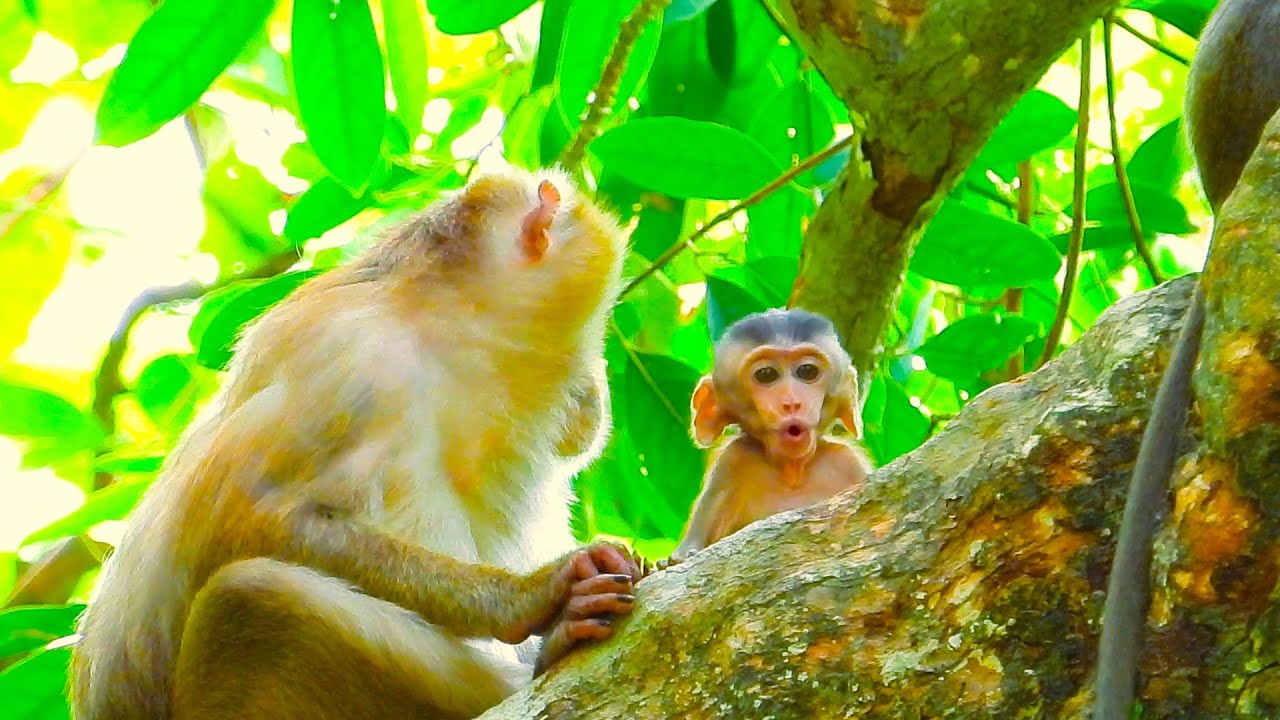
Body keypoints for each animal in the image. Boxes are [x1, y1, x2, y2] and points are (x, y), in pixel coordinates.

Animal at [69, 167, 643, 720]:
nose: (597, 394)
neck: (434, 320)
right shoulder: (353, 363)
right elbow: (246, 517)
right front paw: (531, 598)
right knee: (250, 595)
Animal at [662, 309, 872, 567]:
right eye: (766, 374)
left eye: (807, 371)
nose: (792, 403)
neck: (792, 470)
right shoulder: (732, 461)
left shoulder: (848, 463)